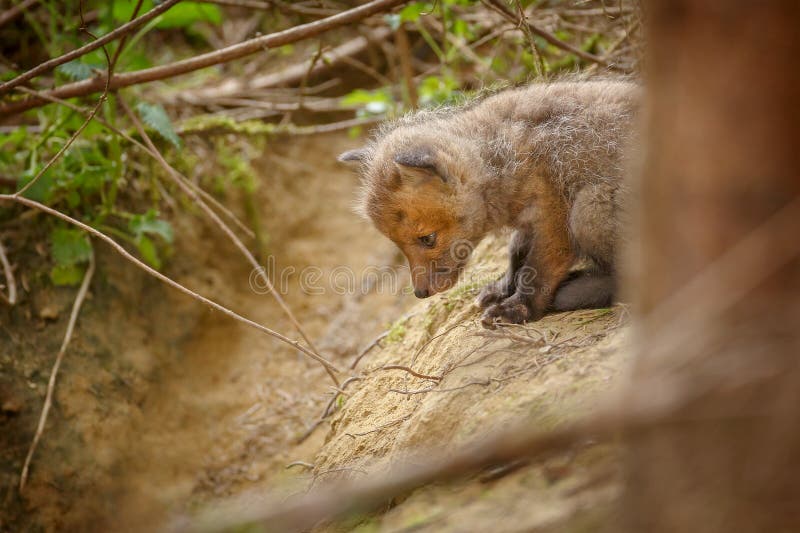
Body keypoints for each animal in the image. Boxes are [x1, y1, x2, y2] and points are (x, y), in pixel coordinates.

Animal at [339, 80, 639, 325]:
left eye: (427, 239)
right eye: (398, 245)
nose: (420, 293)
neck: (503, 158)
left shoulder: (555, 217)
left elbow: (536, 271)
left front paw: (518, 308)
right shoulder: (528, 219)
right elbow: (516, 255)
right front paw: (502, 289)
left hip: (588, 209)